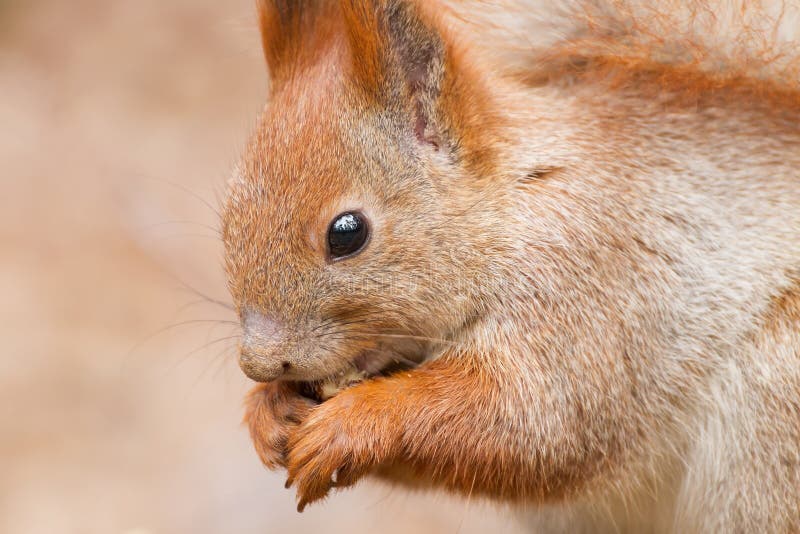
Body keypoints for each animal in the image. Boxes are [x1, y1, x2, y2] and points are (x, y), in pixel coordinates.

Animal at [221, 0, 800, 531]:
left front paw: (354, 423)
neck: (508, 212)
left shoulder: (586, 282)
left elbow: (535, 426)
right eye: (227, 211)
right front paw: (267, 412)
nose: (260, 363)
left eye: (347, 233)